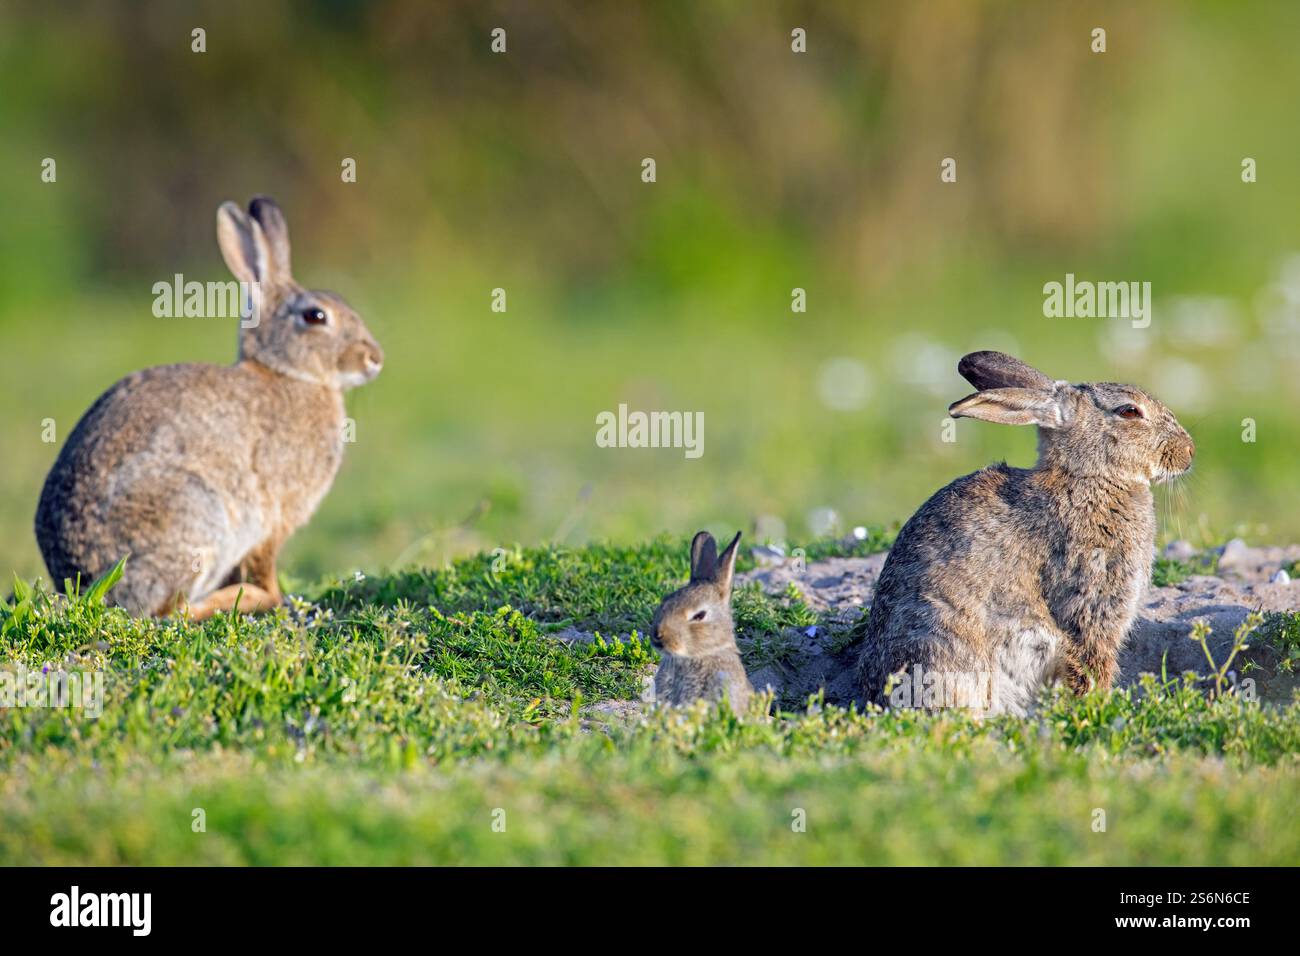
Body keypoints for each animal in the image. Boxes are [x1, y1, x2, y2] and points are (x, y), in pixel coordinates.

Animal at [34, 196, 383, 620]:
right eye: (316, 316)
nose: (374, 359)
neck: (287, 373)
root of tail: (80, 578)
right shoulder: (272, 518)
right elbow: (265, 568)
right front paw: (271, 596)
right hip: (198, 516)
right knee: (171, 611)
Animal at [857, 351, 1195, 717]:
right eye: (1129, 411)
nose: (1189, 452)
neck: (1089, 478)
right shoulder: (1089, 602)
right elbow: (1090, 662)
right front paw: (1094, 705)